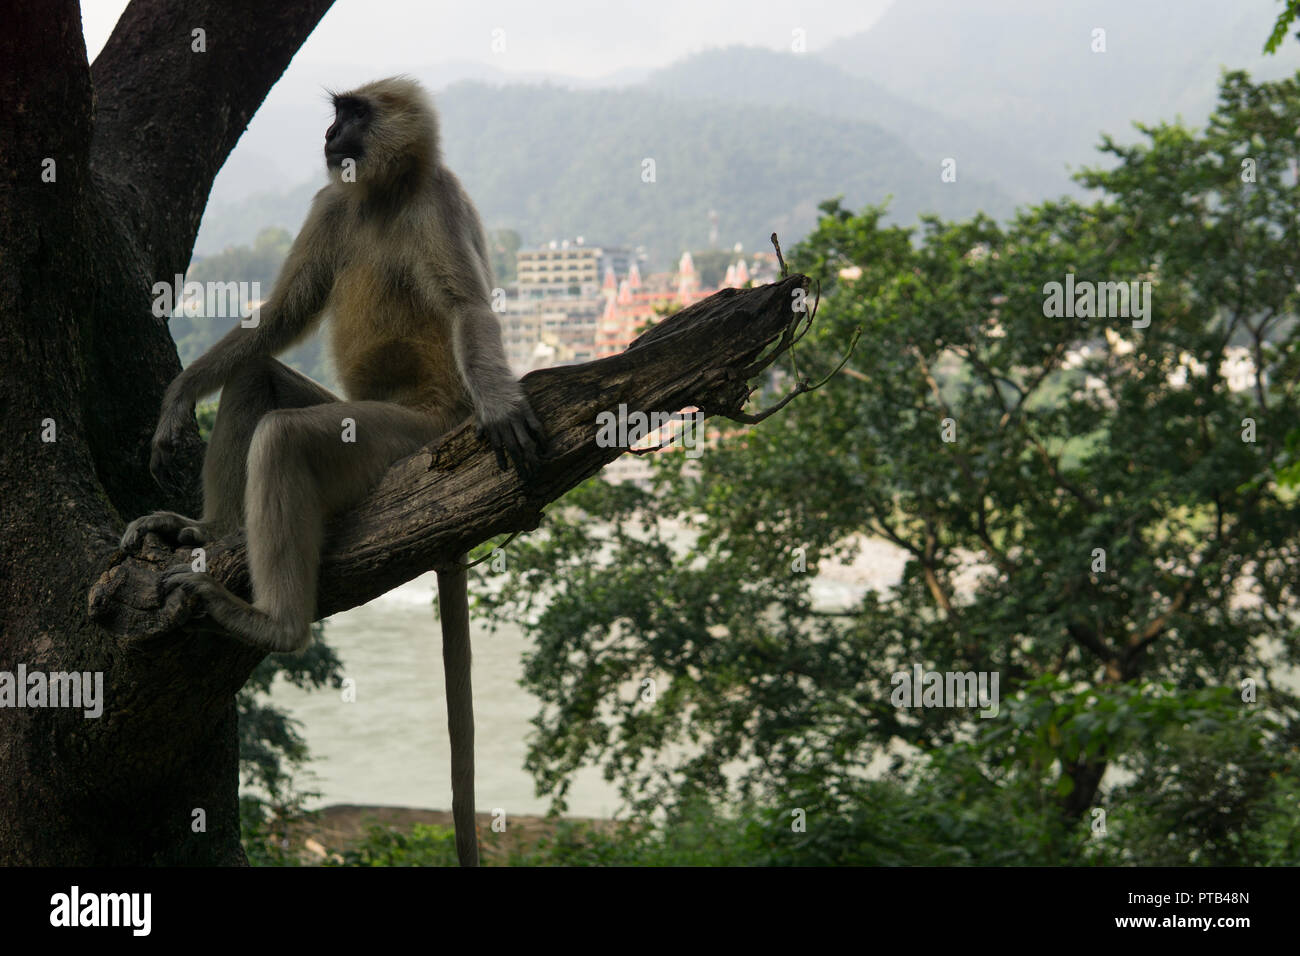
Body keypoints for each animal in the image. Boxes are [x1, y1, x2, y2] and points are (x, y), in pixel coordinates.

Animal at [120, 76, 544, 867]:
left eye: (351, 113)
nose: (327, 133)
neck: (382, 194)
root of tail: (442, 424)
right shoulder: (331, 201)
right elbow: (280, 317)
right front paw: (179, 398)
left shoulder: (437, 196)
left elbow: (469, 308)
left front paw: (503, 402)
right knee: (256, 377)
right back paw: (212, 528)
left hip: (403, 439)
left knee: (285, 439)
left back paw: (276, 625)